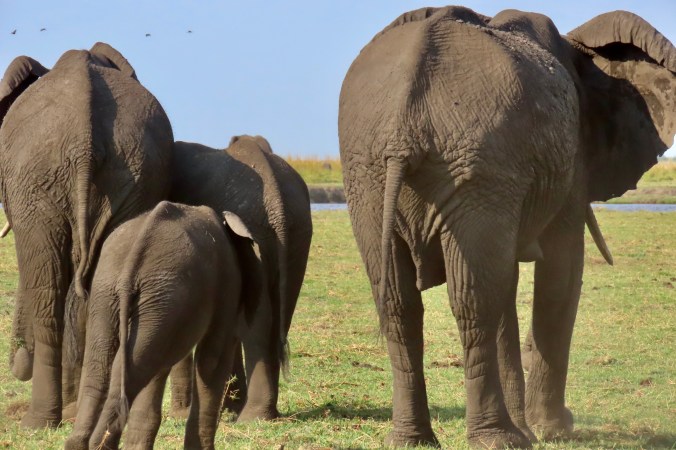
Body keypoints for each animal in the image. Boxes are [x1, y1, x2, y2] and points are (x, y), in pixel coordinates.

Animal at [0, 42, 173, 427]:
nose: (17, 364)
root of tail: (83, 144)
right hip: (132, 176)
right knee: (94, 289)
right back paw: (76, 411)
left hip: (36, 183)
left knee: (48, 291)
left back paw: (39, 420)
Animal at [65, 201, 261, 450]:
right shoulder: (227, 284)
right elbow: (212, 361)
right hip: (159, 297)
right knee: (132, 369)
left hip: (113, 294)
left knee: (105, 366)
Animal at [168, 135, 312, 421]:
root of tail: (276, 200)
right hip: (295, 232)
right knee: (277, 315)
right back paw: (259, 414)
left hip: (259, 228)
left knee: (258, 322)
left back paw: (251, 417)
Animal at [338, 6, 674, 449]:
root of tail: (402, 120)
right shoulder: (564, 162)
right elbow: (561, 274)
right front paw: (553, 429)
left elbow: (509, 279)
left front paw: (534, 428)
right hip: (473, 163)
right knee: (475, 301)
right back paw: (497, 438)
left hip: (371, 174)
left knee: (400, 302)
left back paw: (413, 439)